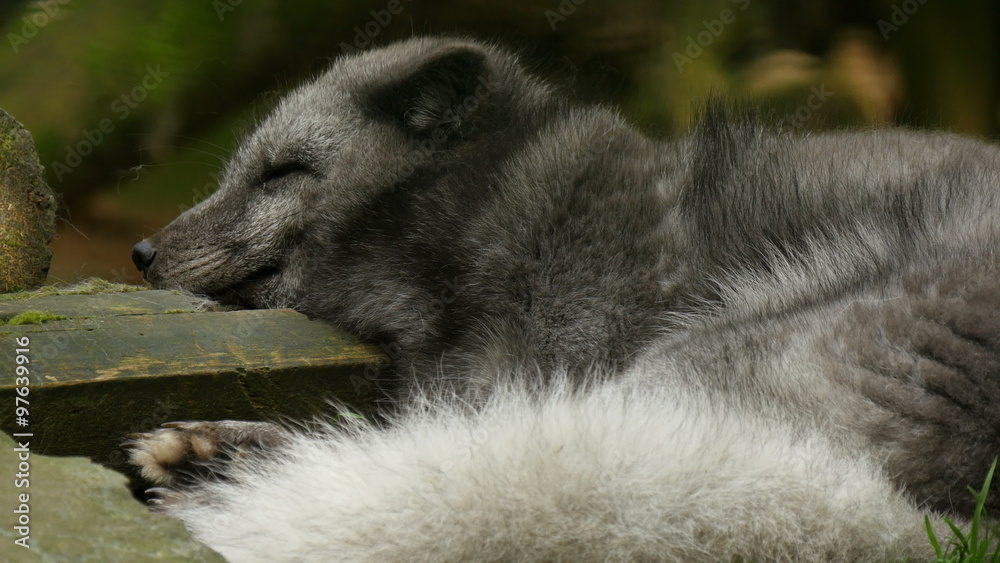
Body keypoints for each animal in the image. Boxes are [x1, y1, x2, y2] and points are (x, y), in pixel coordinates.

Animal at [124, 36, 1000, 561]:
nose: (142, 252)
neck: (494, 206)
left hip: (688, 369)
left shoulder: (536, 370)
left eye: (283, 173)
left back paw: (217, 465)